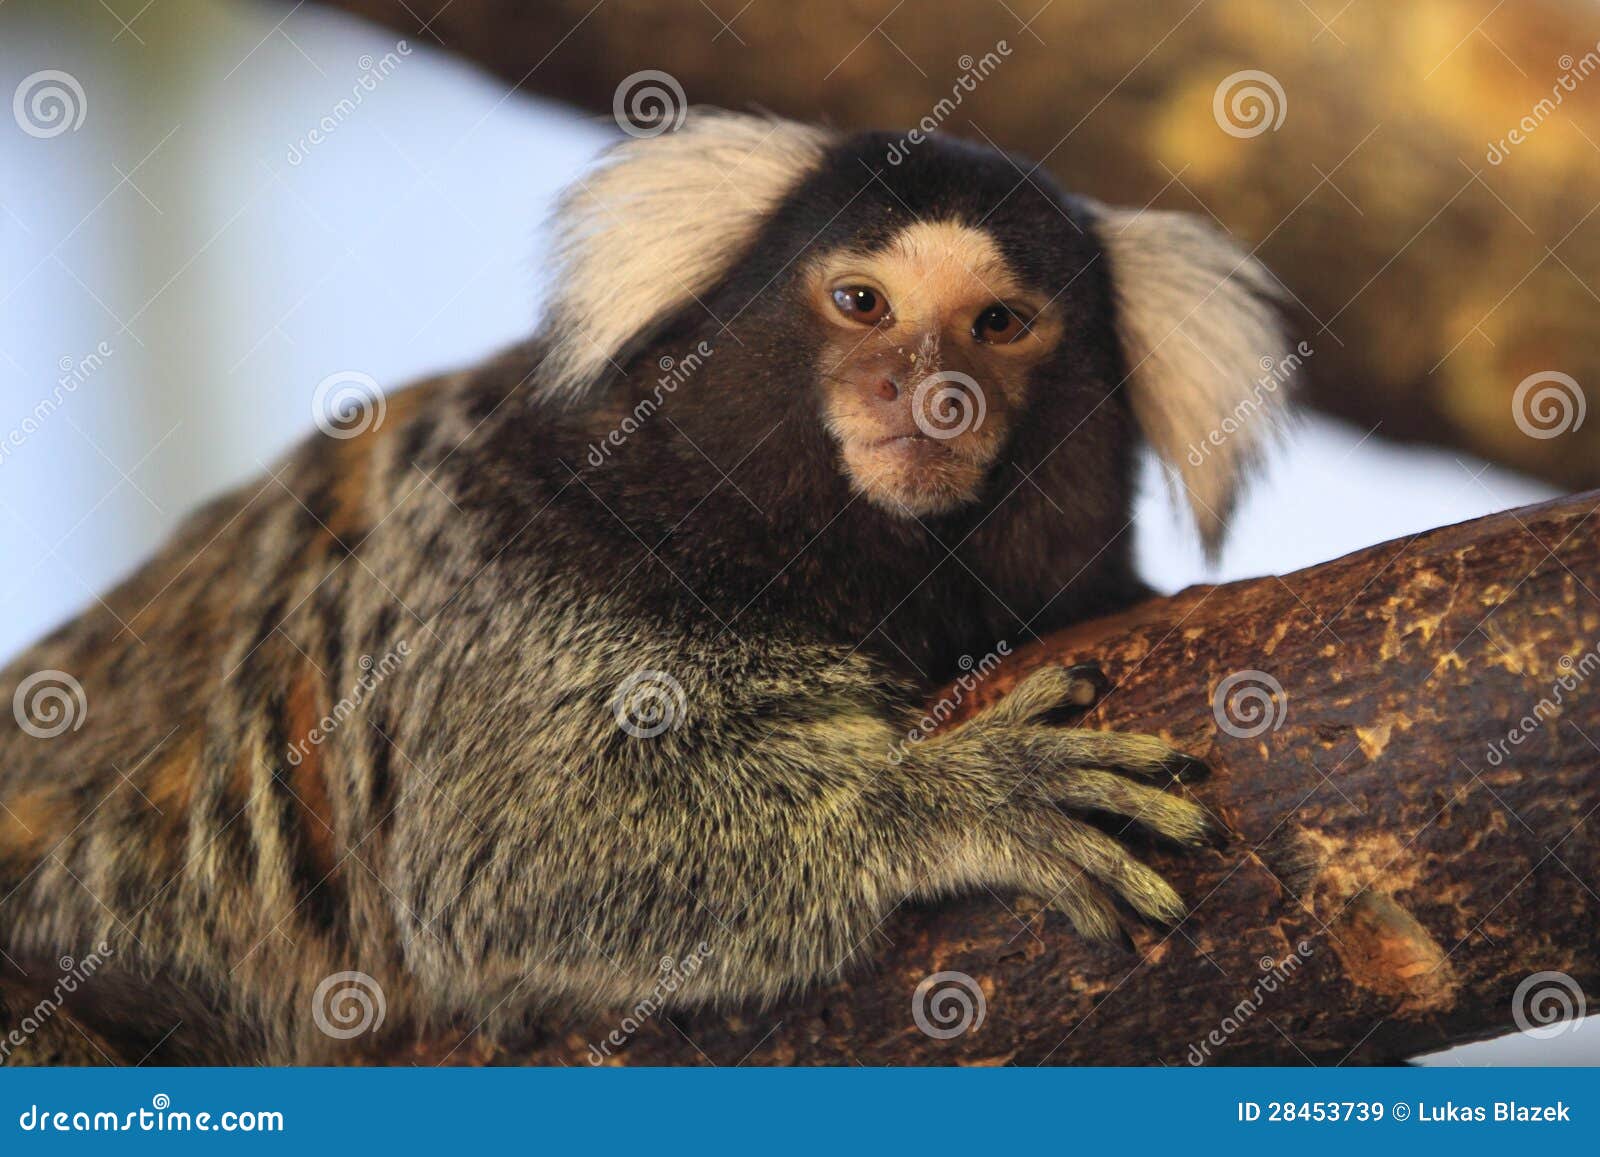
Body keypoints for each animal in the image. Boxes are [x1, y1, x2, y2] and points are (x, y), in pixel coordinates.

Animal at [0, 111, 1292, 1064]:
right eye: (862, 302)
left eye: (1000, 323)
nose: (931, 394)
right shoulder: (509, 540)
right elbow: (515, 845)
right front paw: (956, 793)